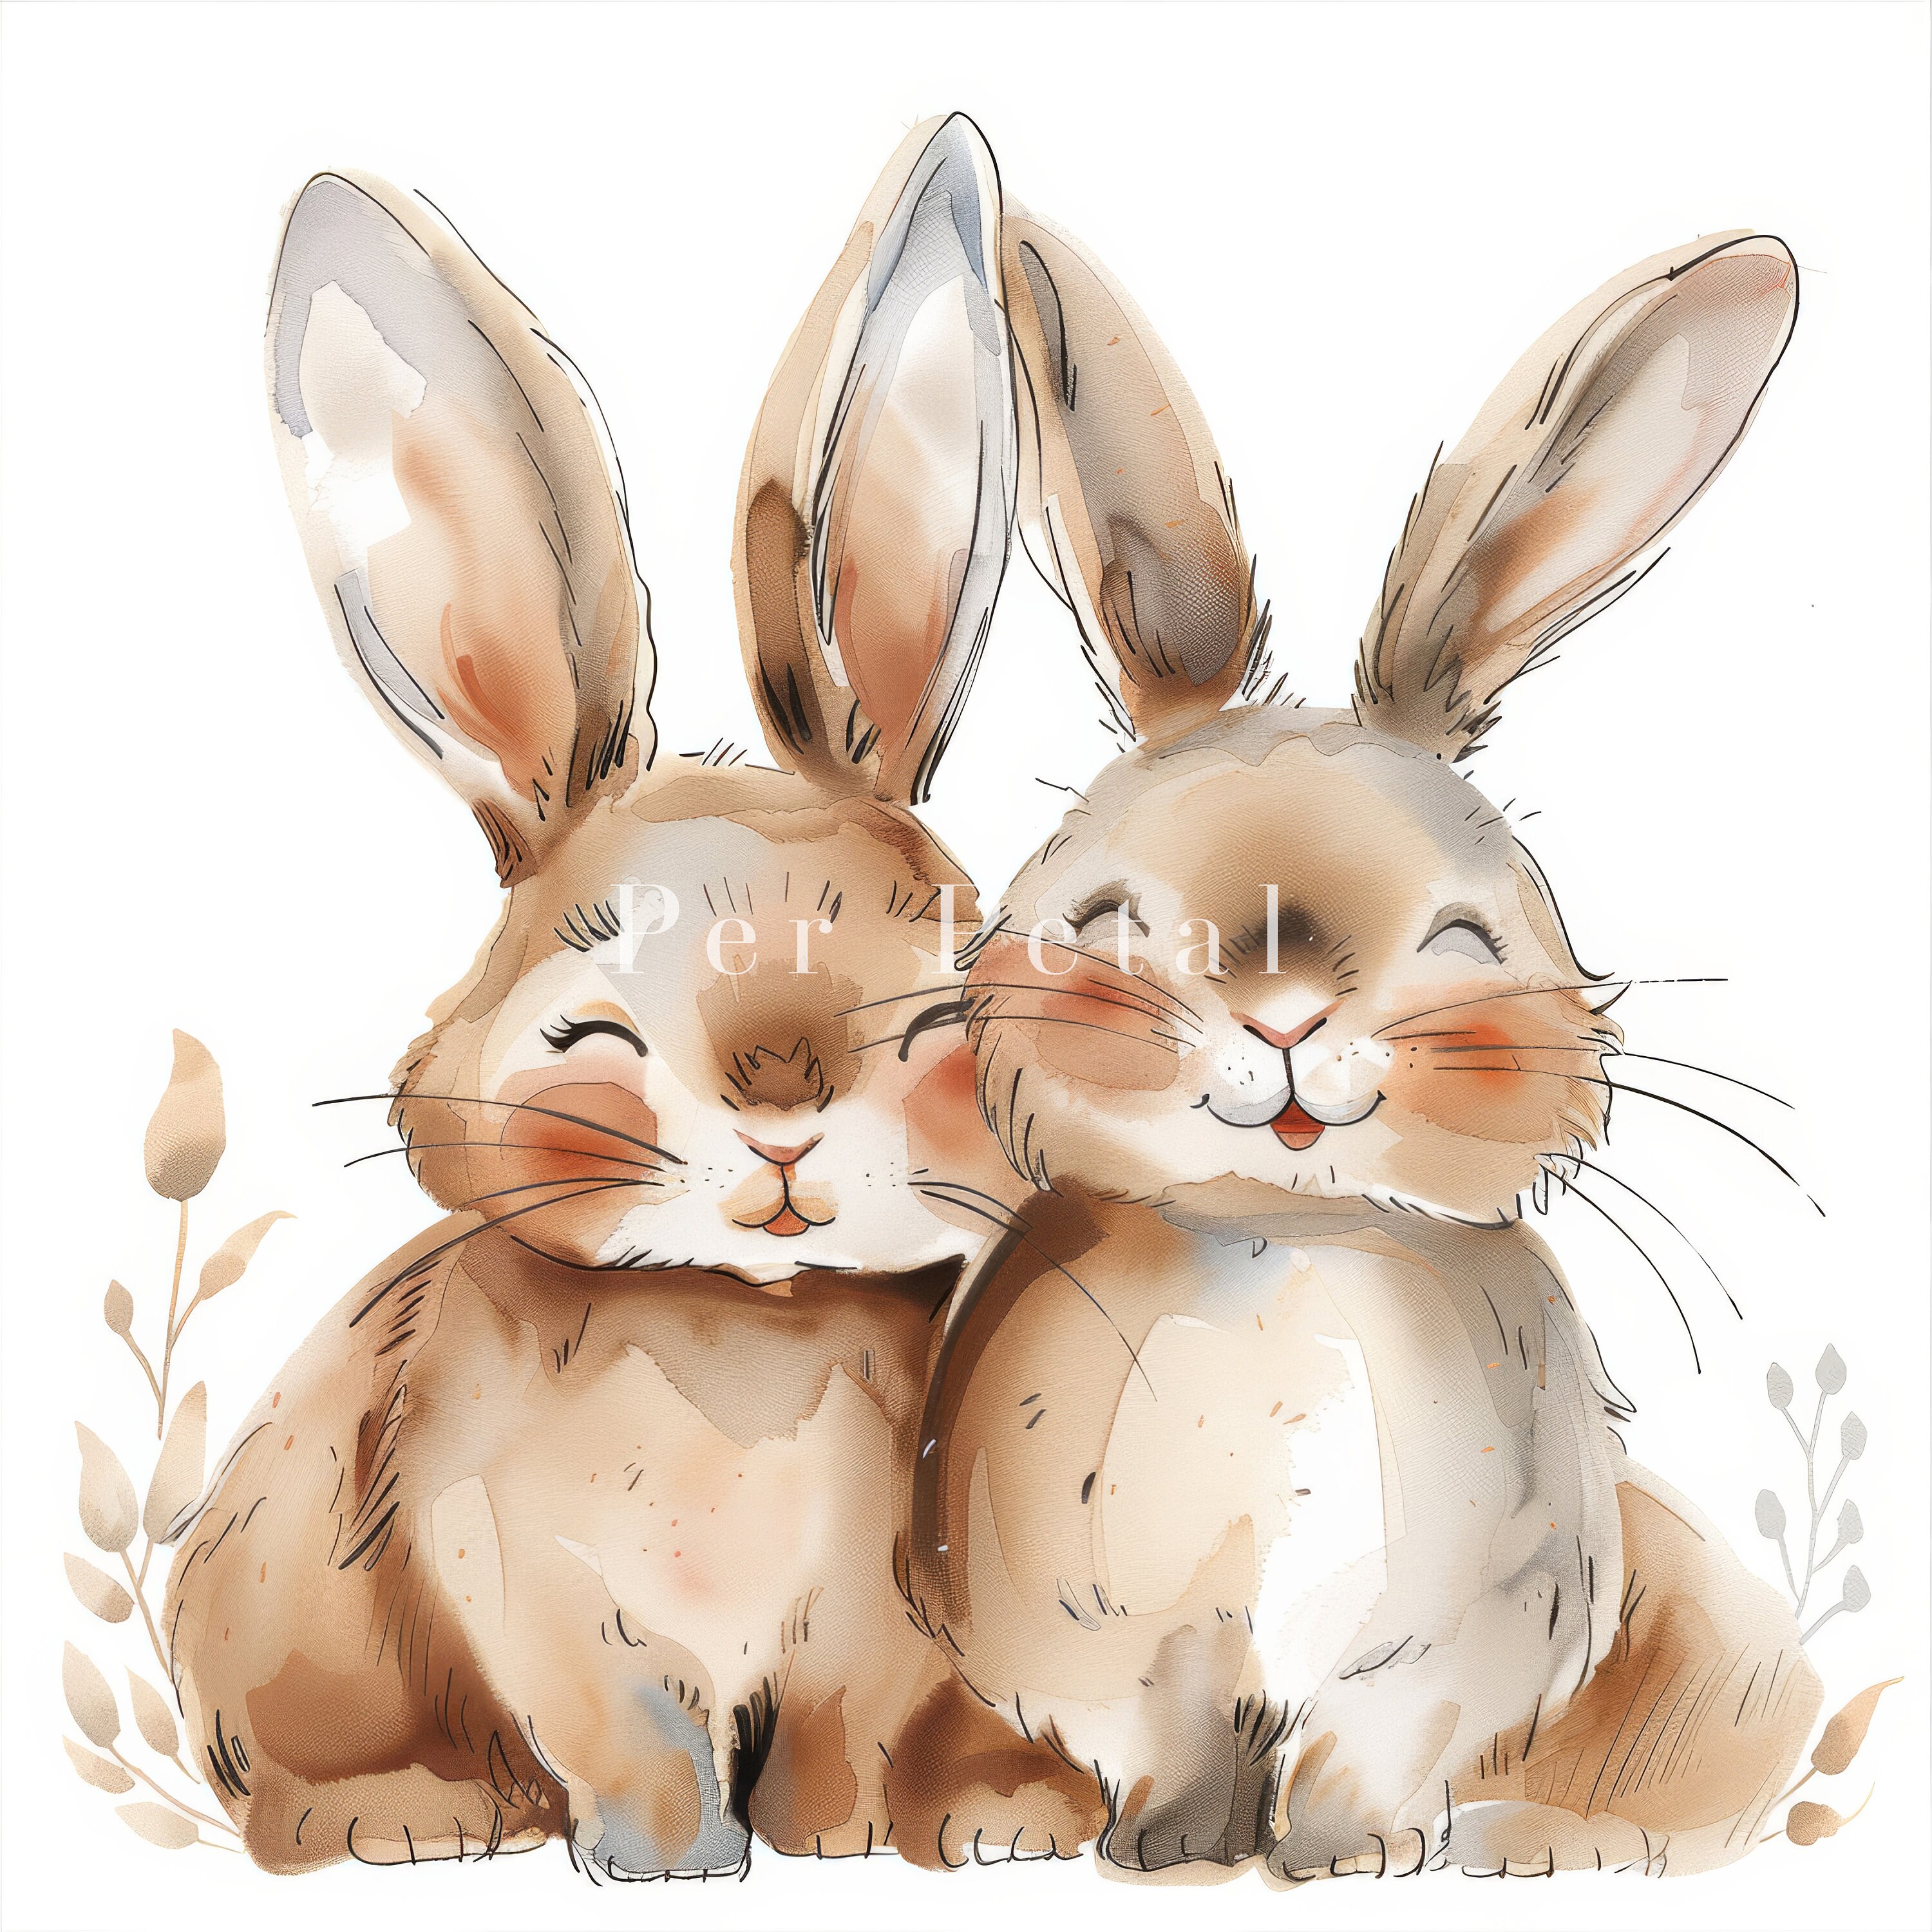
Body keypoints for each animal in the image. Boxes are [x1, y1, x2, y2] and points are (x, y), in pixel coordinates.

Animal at [162, 114, 1084, 1879]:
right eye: (587, 1029)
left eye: (943, 1007)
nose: (785, 1108)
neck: (735, 1322)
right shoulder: (536, 1605)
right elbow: (627, 1743)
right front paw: (668, 1863)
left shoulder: (869, 1625)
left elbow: (843, 1740)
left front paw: (836, 1849)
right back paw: (409, 1821)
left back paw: (1007, 1819)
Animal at [904, 200, 1820, 1882]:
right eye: (1110, 915)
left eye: (1465, 938)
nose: (1284, 1012)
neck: (1289, 1238)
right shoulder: (1124, 1635)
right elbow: (1171, 1735)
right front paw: (1169, 1854)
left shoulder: (1448, 1643)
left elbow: (1373, 1748)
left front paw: (1346, 1859)